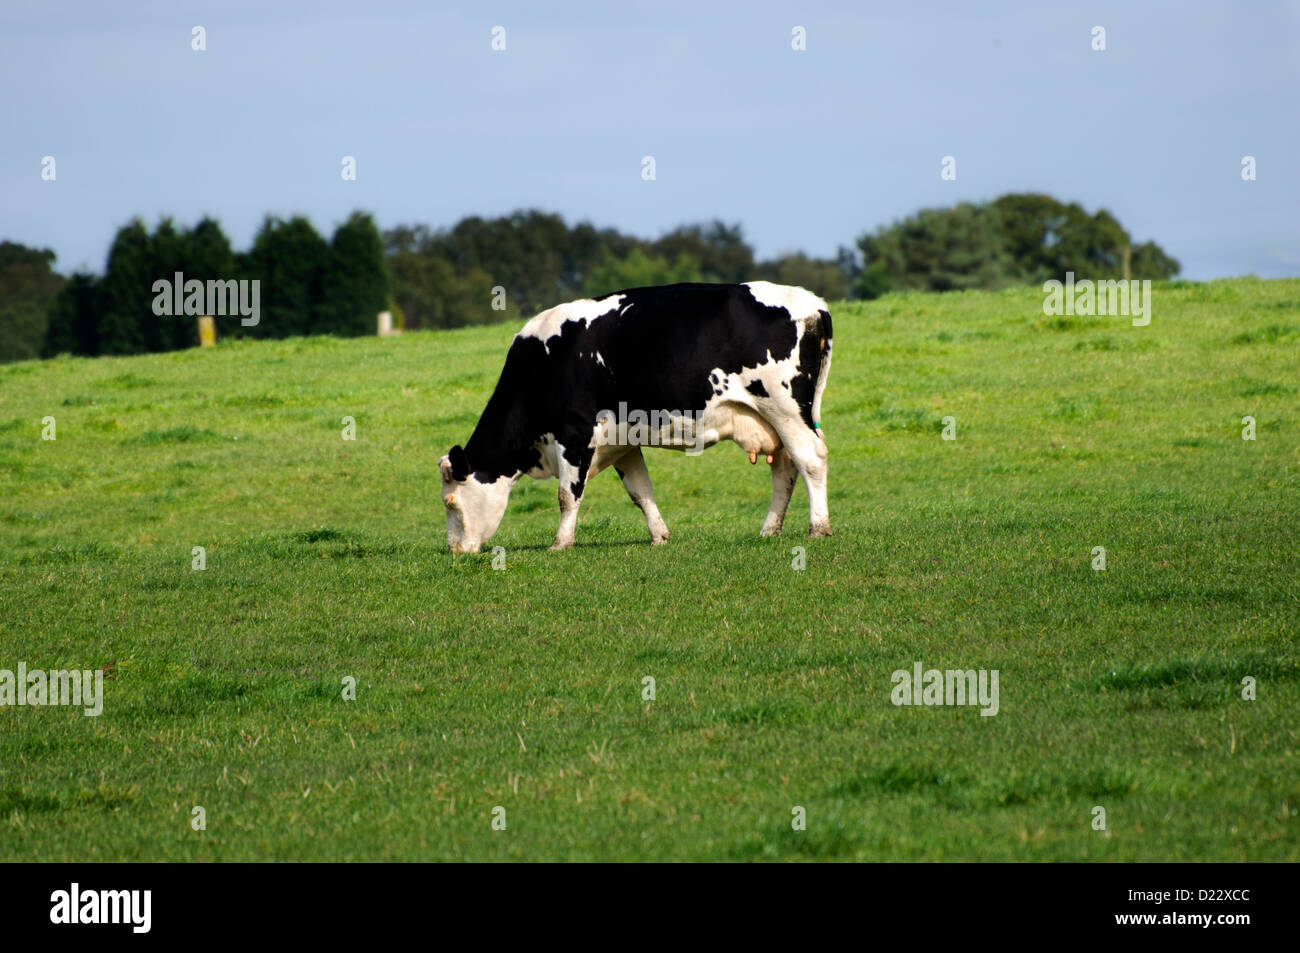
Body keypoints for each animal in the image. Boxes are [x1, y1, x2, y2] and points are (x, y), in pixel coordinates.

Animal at [439, 281, 833, 553]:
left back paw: (818, 528)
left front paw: (560, 543)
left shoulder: (574, 435)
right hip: (775, 419)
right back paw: (769, 529)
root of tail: (812, 302)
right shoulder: (622, 441)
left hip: (785, 407)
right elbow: (640, 491)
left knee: (810, 460)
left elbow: (567, 494)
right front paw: (659, 536)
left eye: (450, 502)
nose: (455, 551)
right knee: (785, 468)